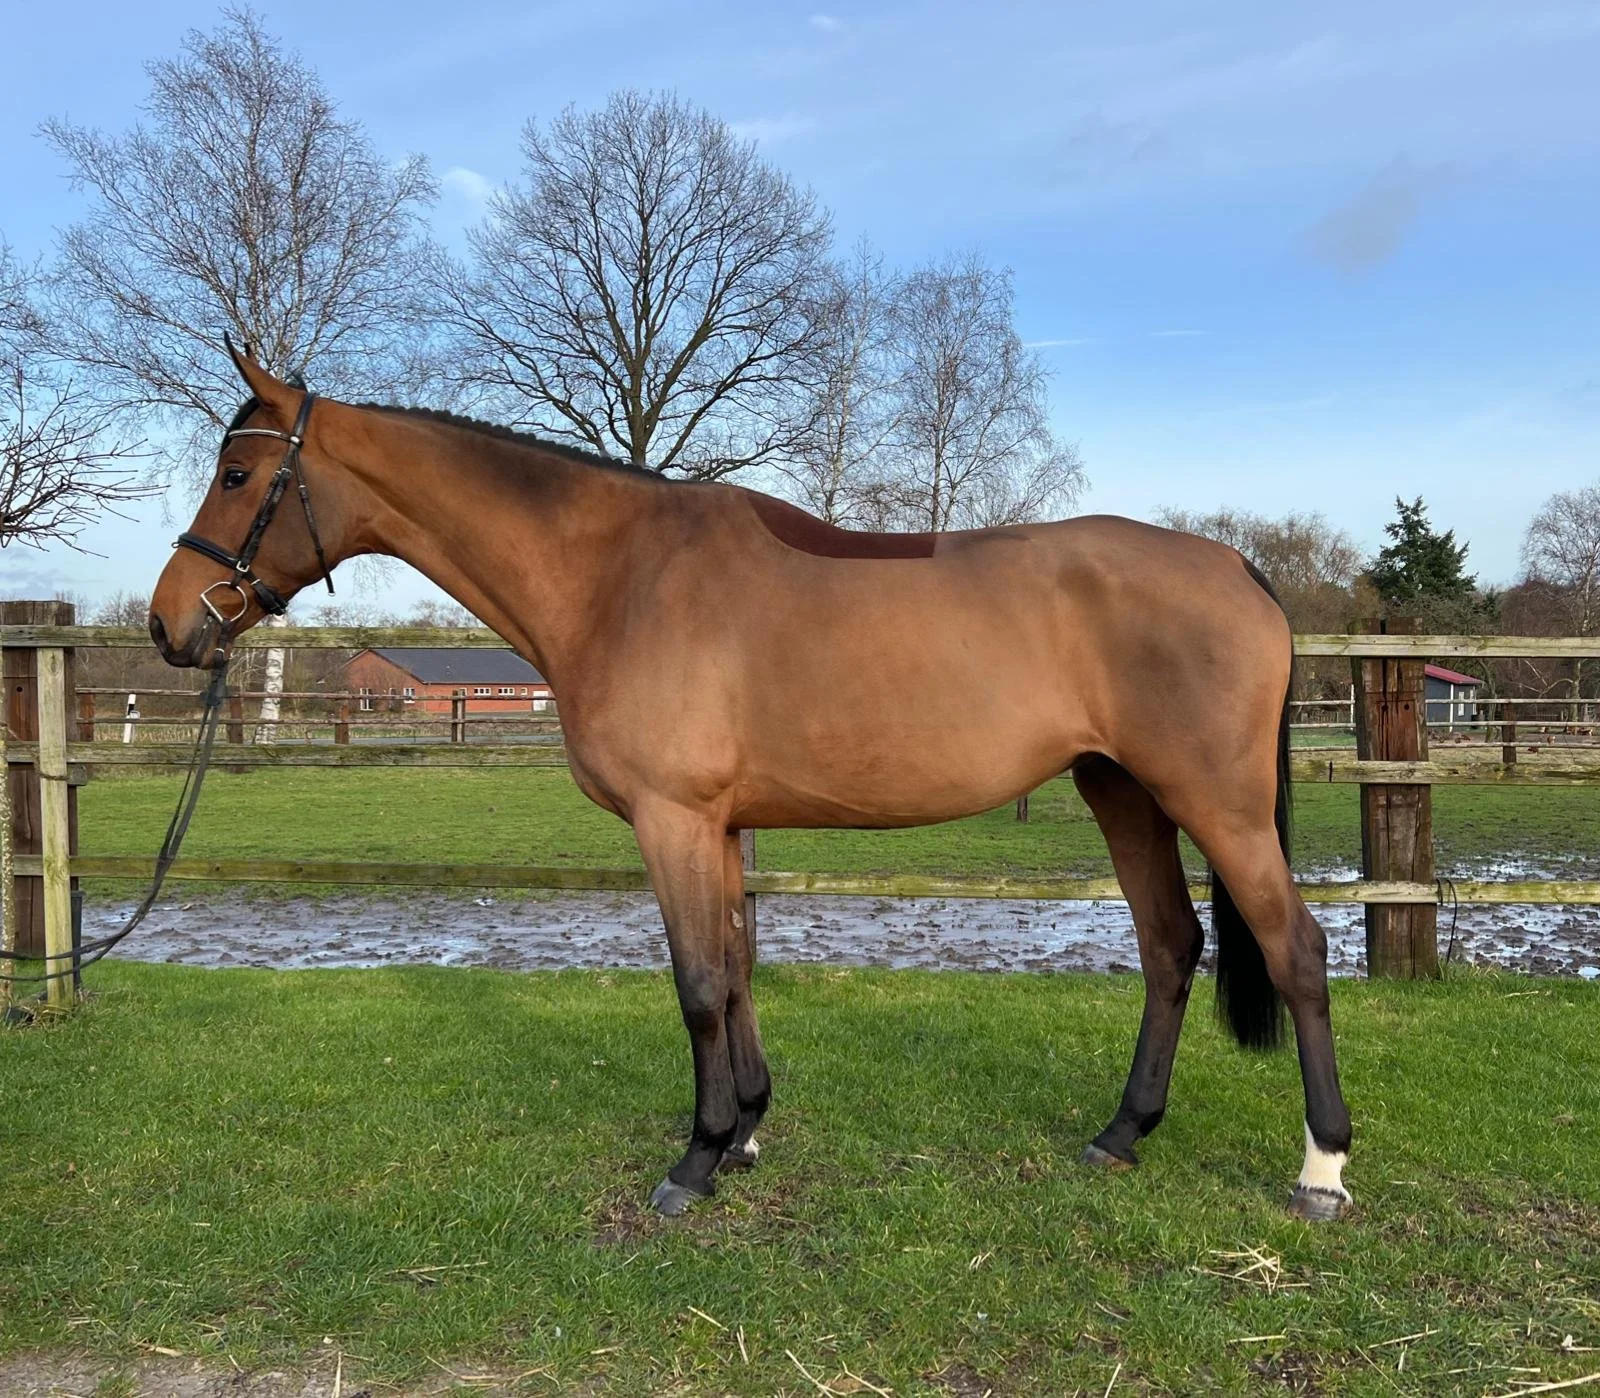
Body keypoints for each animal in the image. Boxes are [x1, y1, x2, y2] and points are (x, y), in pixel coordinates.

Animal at [148, 342, 1353, 1222]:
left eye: (239, 474)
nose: (168, 625)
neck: (620, 576)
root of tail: (1234, 566)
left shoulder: (671, 820)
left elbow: (694, 984)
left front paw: (693, 1162)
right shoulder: (717, 827)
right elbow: (734, 971)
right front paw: (747, 1131)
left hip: (1215, 804)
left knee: (1294, 947)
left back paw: (1321, 1171)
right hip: (1121, 792)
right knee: (1170, 946)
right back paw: (1120, 1137)